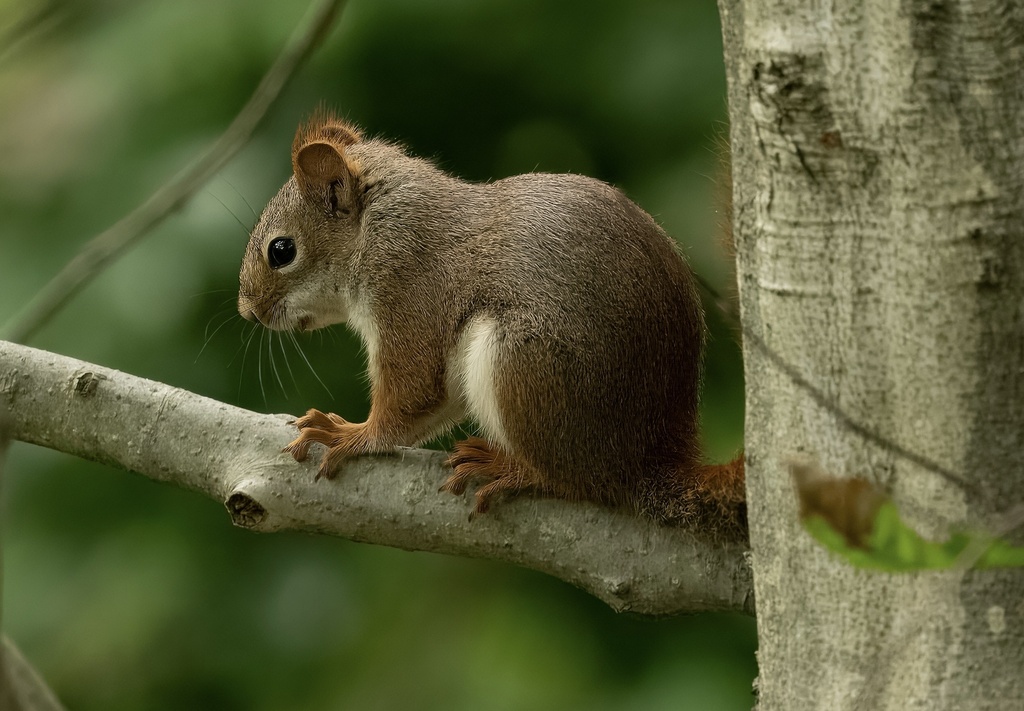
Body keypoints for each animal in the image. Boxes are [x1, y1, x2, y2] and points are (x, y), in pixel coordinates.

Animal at [237, 112, 746, 541]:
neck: (378, 228)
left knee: (578, 481)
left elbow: (408, 398)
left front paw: (350, 435)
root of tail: (649, 459)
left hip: (524, 362)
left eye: (281, 250)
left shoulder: (410, 296)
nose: (248, 311)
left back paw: (512, 469)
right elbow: (436, 402)